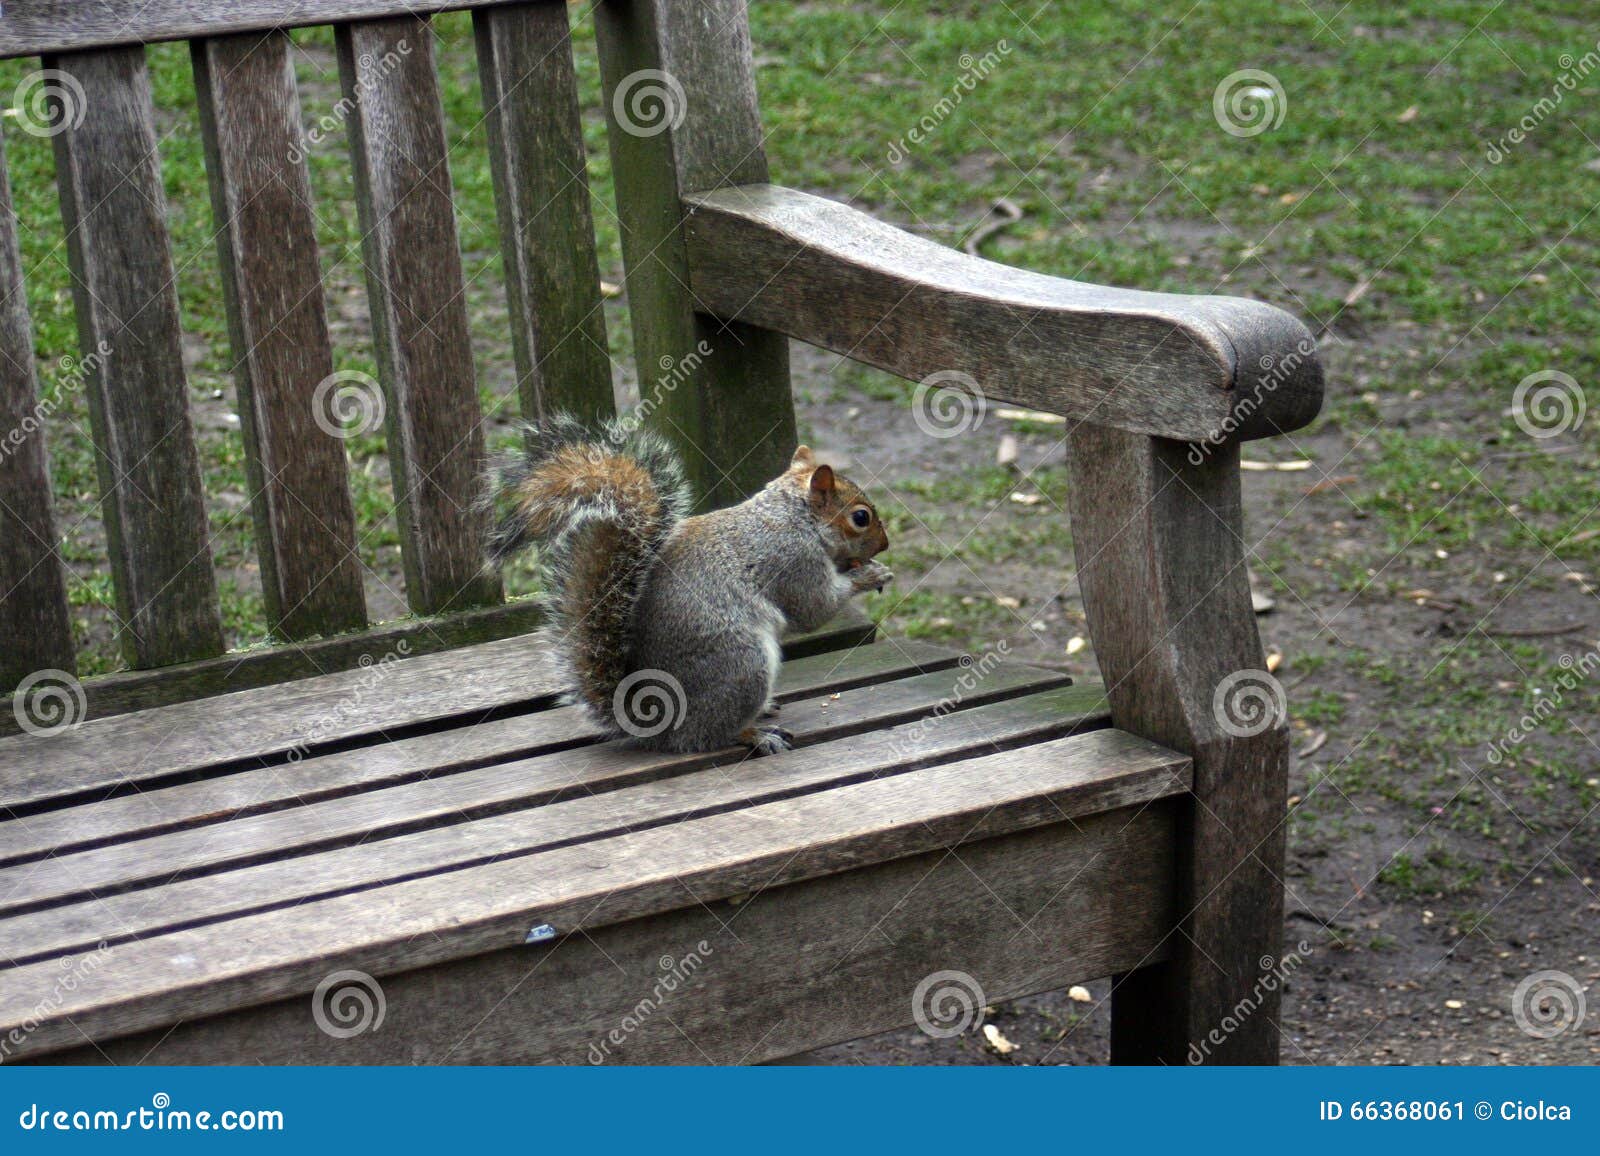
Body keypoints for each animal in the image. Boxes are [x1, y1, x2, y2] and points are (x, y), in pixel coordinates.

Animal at [482, 414, 893, 755]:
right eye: (860, 518)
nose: (885, 544)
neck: (793, 515)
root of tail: (656, 720)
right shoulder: (793, 560)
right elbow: (814, 609)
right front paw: (872, 574)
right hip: (742, 664)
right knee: (706, 735)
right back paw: (755, 734)